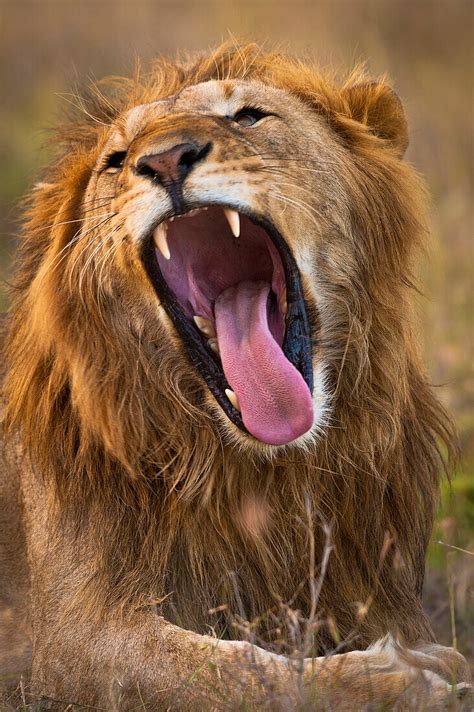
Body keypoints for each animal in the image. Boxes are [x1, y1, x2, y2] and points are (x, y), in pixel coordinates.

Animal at [0, 42, 470, 709]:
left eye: (248, 116)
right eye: (116, 160)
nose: (165, 160)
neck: (259, 471)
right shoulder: (67, 639)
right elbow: (229, 671)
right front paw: (401, 679)